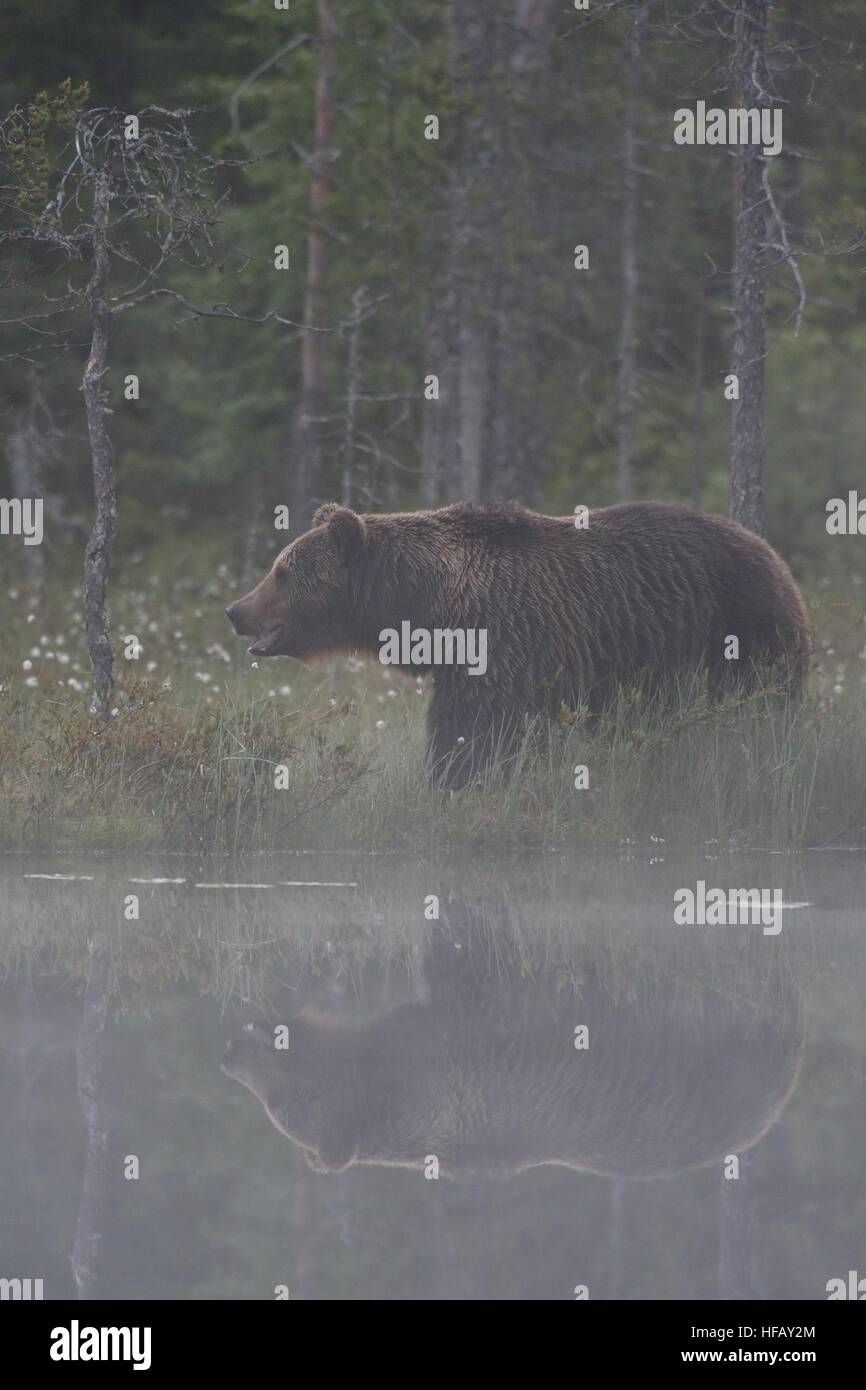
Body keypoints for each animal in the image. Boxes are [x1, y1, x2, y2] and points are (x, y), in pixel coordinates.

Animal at [225, 500, 812, 786]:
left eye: (282, 571)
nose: (236, 610)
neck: (430, 603)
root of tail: (778, 559)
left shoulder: (502, 642)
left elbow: (476, 731)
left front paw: (454, 782)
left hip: (743, 633)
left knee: (759, 708)